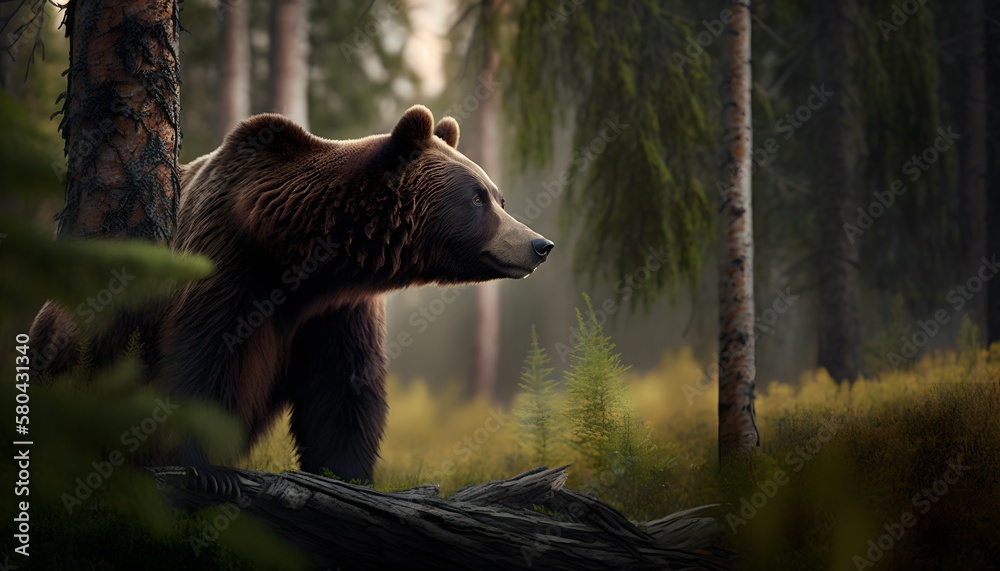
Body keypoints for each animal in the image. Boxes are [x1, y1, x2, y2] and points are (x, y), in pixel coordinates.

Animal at [28, 105, 554, 495]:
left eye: (498, 197)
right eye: (478, 197)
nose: (539, 244)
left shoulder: (337, 309)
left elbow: (343, 387)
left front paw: (349, 474)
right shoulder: (229, 264)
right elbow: (203, 359)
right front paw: (210, 472)